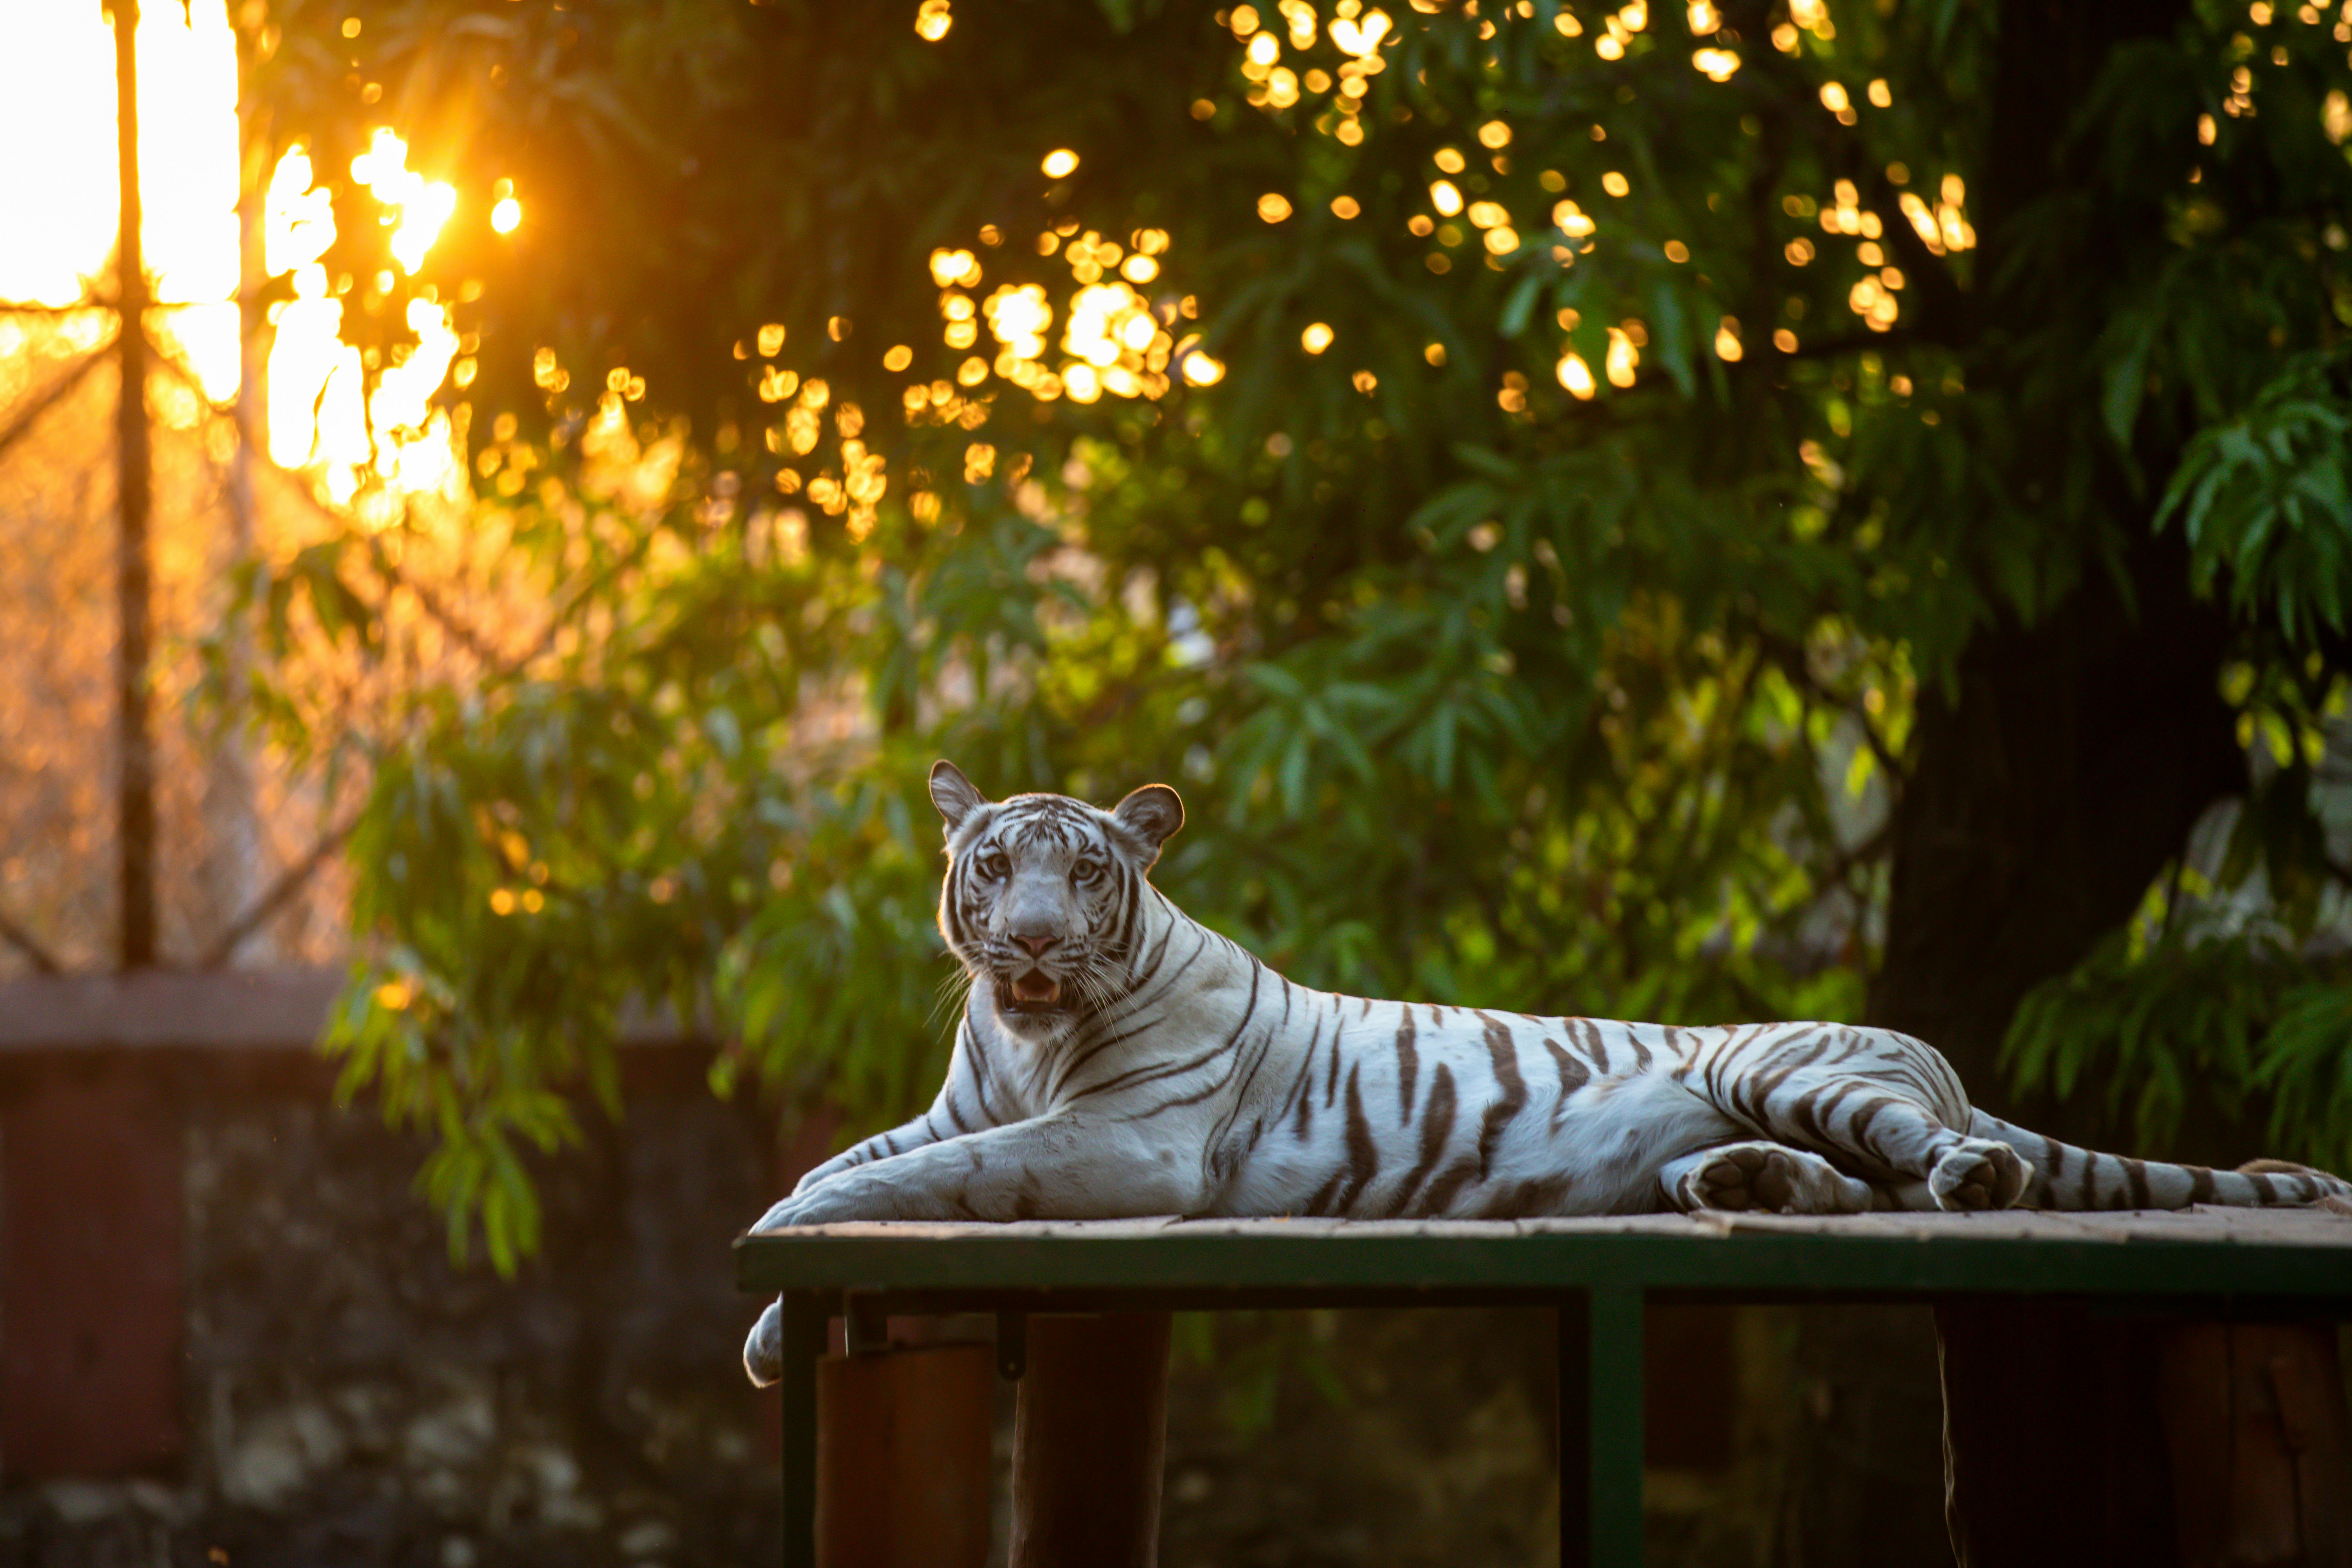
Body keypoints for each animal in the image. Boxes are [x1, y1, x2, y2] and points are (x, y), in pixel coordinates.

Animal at [743, 761, 2351, 1384]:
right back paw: (1741, 1182)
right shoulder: (957, 1105)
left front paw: (789, 1259)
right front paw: (771, 1320)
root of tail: (1924, 1052)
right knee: (1851, 1188)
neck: (1024, 1032)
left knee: (1937, 1158)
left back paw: (1954, 1166)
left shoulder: (1121, 1146)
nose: (1025, 937)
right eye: (992, 865)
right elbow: (847, 1157)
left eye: (1083, 873)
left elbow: (928, 1178)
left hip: (1804, 1067)